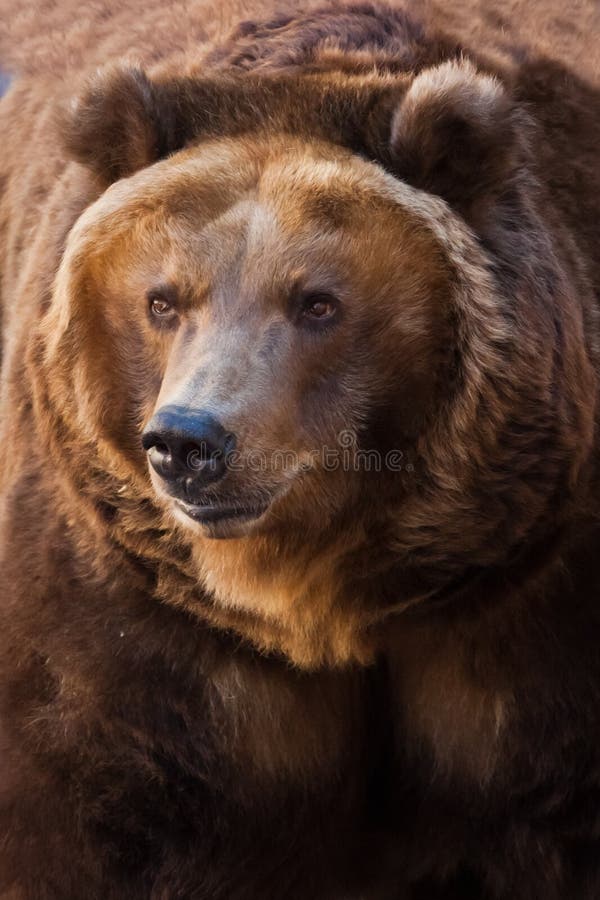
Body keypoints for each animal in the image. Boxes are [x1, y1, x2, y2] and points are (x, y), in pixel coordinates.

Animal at [1, 1, 600, 898]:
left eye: (317, 302)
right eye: (162, 299)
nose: (189, 441)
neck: (319, 599)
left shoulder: (523, 626)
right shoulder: (124, 628)